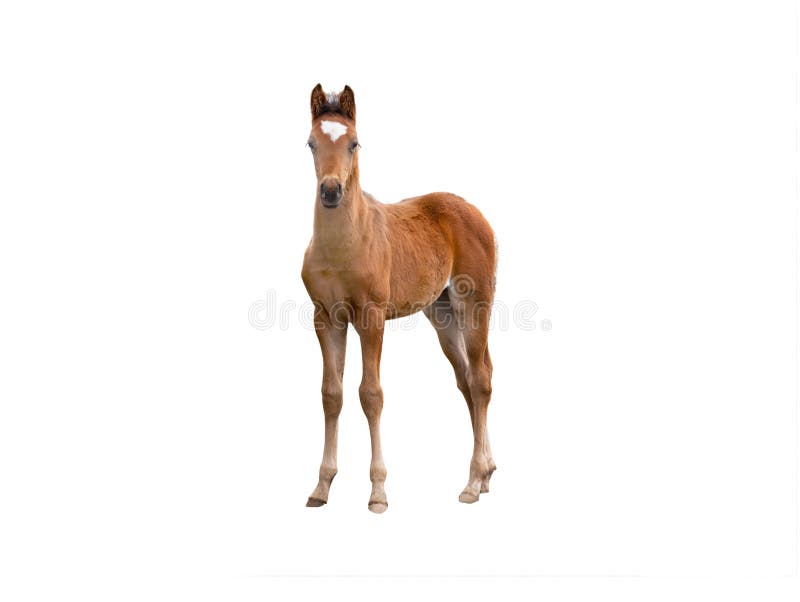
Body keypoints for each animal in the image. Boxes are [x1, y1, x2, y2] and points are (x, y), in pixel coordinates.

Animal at [301, 84, 497, 513]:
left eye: (354, 143)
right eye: (310, 143)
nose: (330, 191)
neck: (345, 244)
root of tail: (476, 213)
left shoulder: (371, 318)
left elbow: (371, 394)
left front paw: (378, 492)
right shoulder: (326, 317)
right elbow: (331, 395)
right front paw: (321, 487)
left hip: (475, 306)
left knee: (480, 380)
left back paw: (473, 483)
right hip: (442, 315)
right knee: (466, 380)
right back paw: (488, 473)